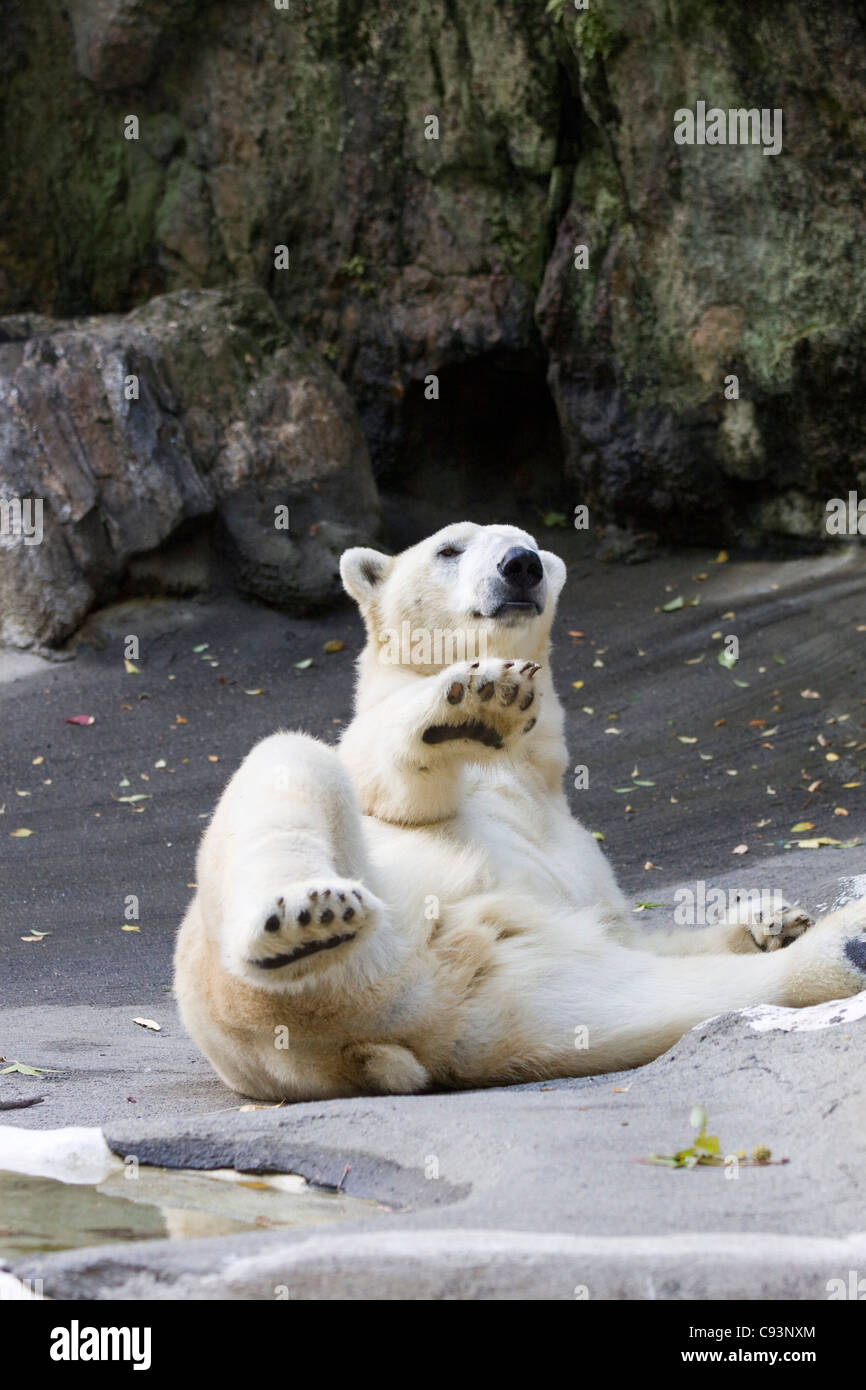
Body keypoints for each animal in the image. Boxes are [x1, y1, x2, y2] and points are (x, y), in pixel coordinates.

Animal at [173, 521, 866, 1100]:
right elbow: (387, 781)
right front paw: (478, 701)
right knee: (286, 763)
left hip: (498, 1003)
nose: (521, 565)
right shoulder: (382, 765)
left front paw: (772, 919)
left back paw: (841, 946)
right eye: (449, 549)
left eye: (530, 543)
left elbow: (632, 933)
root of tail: (353, 1039)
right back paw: (306, 920)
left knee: (647, 998)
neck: (526, 772)